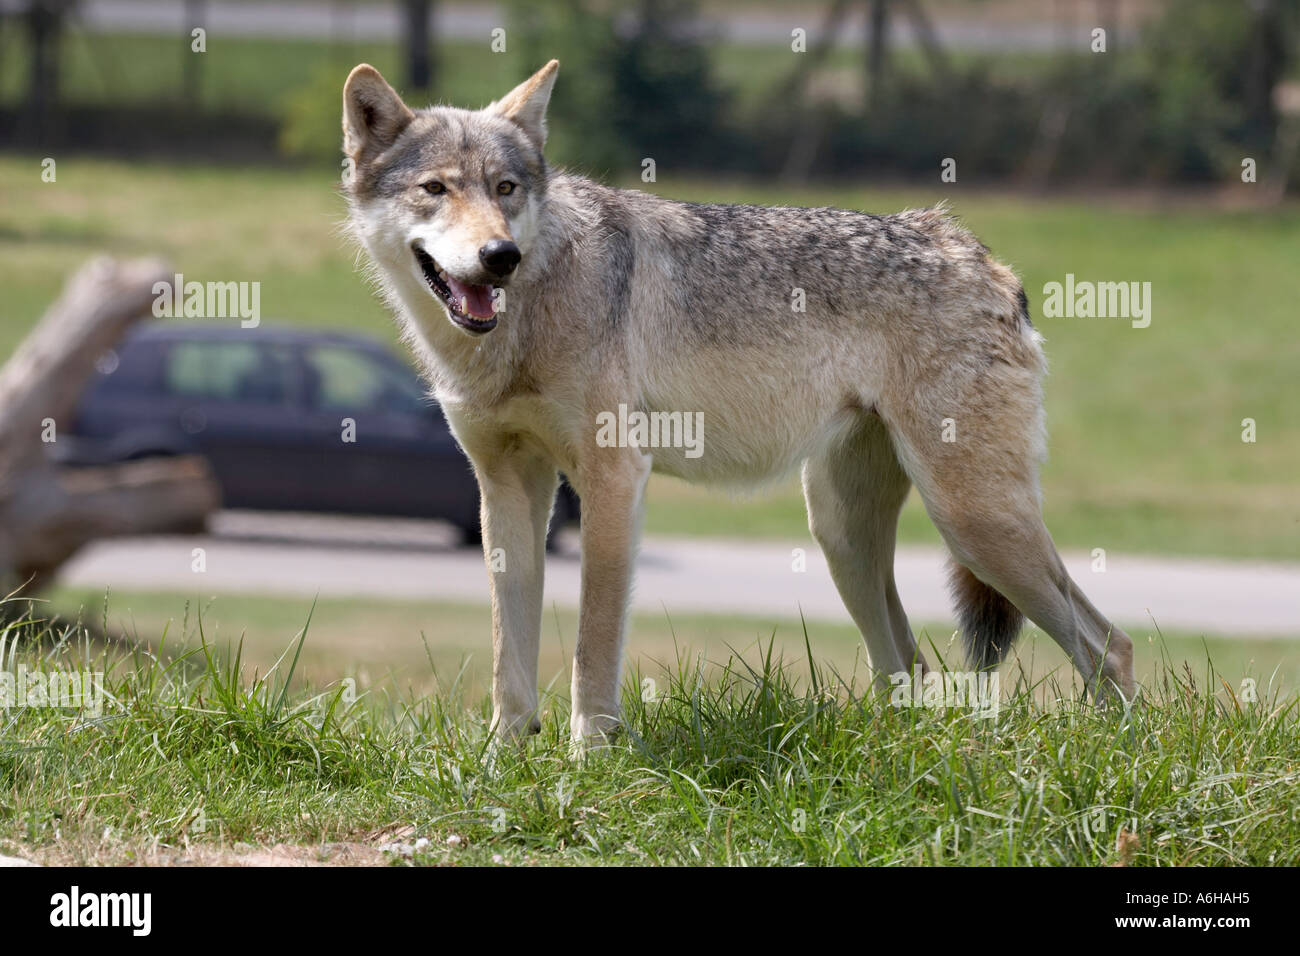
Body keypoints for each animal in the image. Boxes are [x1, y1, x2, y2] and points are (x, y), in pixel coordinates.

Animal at [341, 60, 1135, 746]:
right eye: (436, 189)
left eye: (505, 189)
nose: (498, 256)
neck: (525, 317)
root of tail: (972, 248)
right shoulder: (506, 487)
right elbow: (511, 654)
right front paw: (502, 764)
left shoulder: (614, 480)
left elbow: (591, 648)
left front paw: (588, 760)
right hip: (845, 537)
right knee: (911, 670)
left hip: (972, 522)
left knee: (1110, 646)